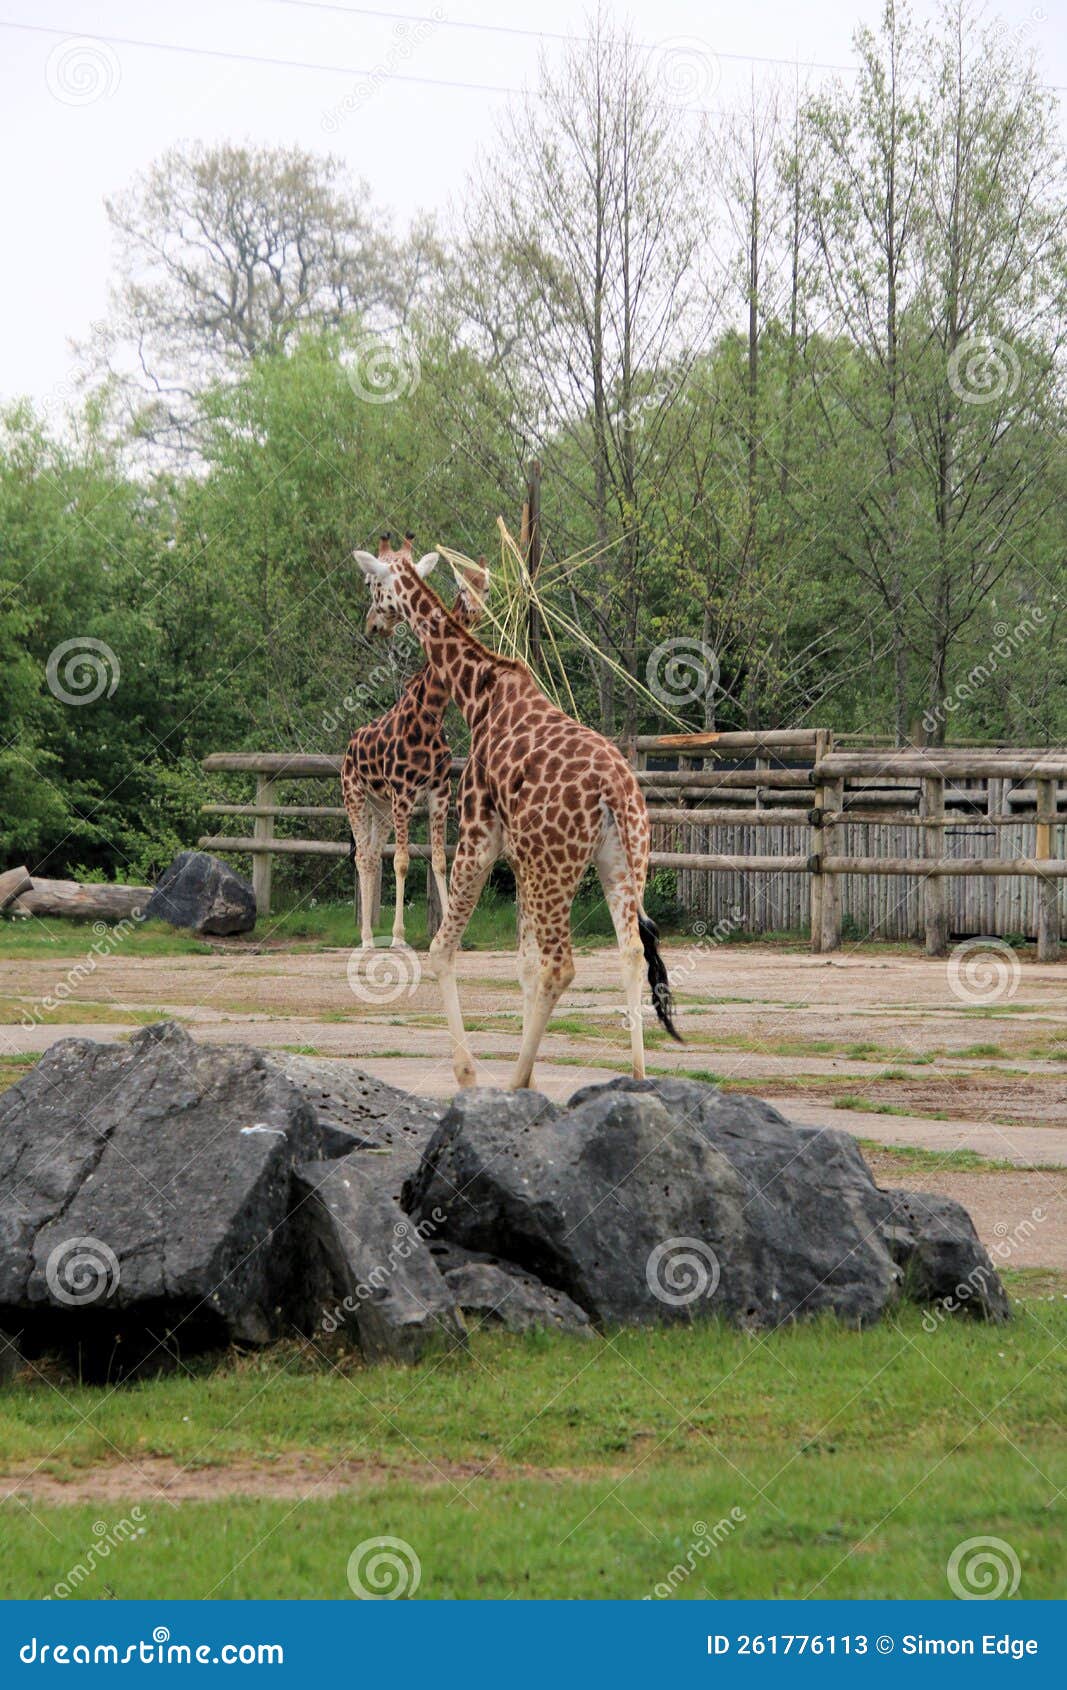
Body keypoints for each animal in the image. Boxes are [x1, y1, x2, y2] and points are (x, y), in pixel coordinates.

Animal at [341, 534, 486, 950]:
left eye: (485, 581)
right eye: (462, 584)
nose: (373, 625)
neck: (429, 716)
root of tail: (349, 746)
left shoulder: (439, 794)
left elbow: (439, 860)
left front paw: (449, 935)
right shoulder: (404, 794)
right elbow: (403, 862)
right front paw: (399, 937)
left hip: (381, 809)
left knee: (373, 854)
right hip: (356, 798)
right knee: (365, 858)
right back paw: (368, 939)